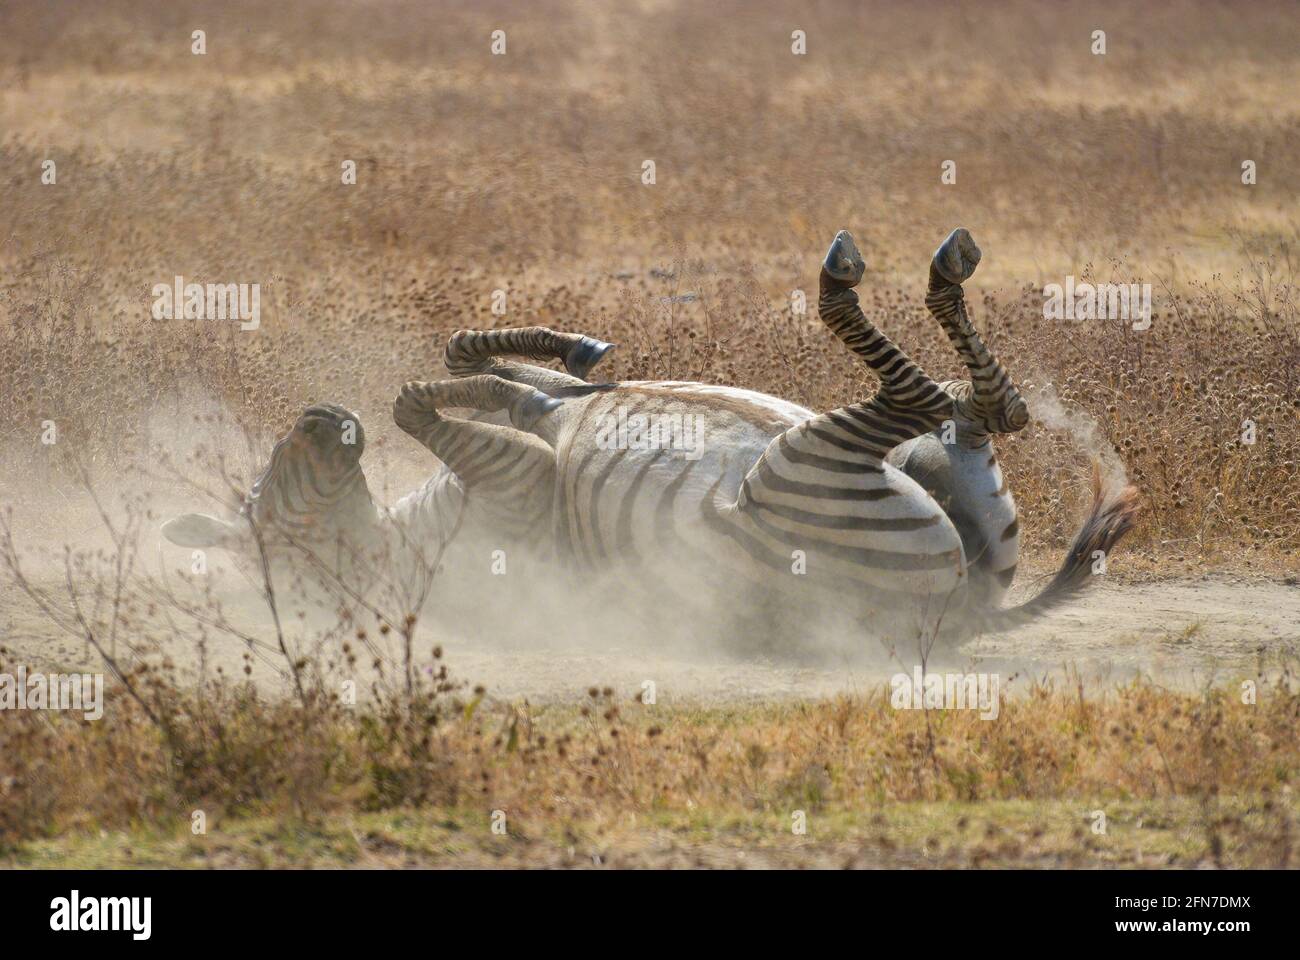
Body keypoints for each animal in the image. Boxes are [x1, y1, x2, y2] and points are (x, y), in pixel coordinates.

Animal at [393, 229, 1137, 649]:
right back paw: (878, 273)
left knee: (977, 409)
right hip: (800, 473)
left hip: (937, 467)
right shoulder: (531, 461)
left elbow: (465, 354)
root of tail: (966, 619)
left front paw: (574, 348)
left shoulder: (542, 417)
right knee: (935, 399)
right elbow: (448, 391)